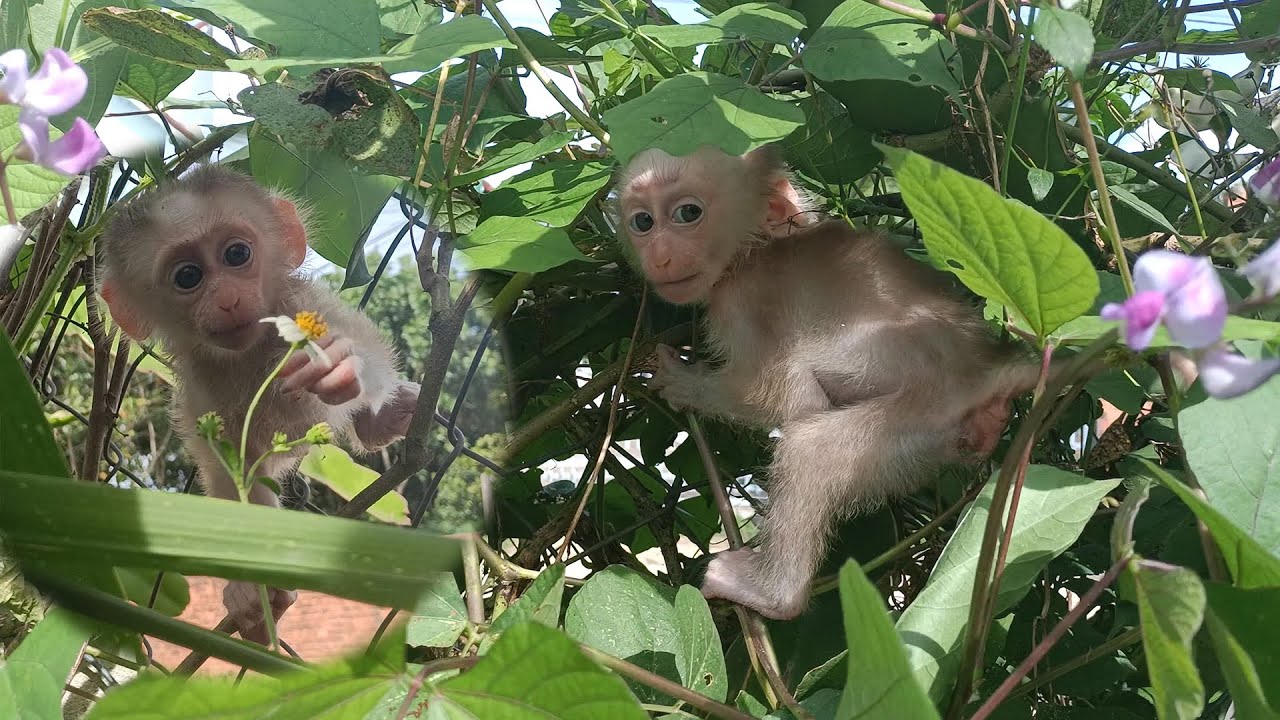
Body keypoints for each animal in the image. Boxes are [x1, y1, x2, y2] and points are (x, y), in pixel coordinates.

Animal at [97, 165, 421, 642]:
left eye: (236, 254)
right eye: (188, 277)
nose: (229, 299)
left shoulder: (300, 306)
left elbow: (358, 348)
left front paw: (339, 368)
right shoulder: (201, 386)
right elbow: (236, 469)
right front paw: (252, 590)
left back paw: (382, 420)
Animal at [615, 145, 1044, 620]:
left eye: (688, 213)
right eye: (643, 221)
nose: (660, 256)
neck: (751, 252)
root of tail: (987, 364)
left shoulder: (744, 300)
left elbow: (773, 398)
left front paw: (684, 383)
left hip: (930, 396)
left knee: (811, 443)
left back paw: (772, 593)